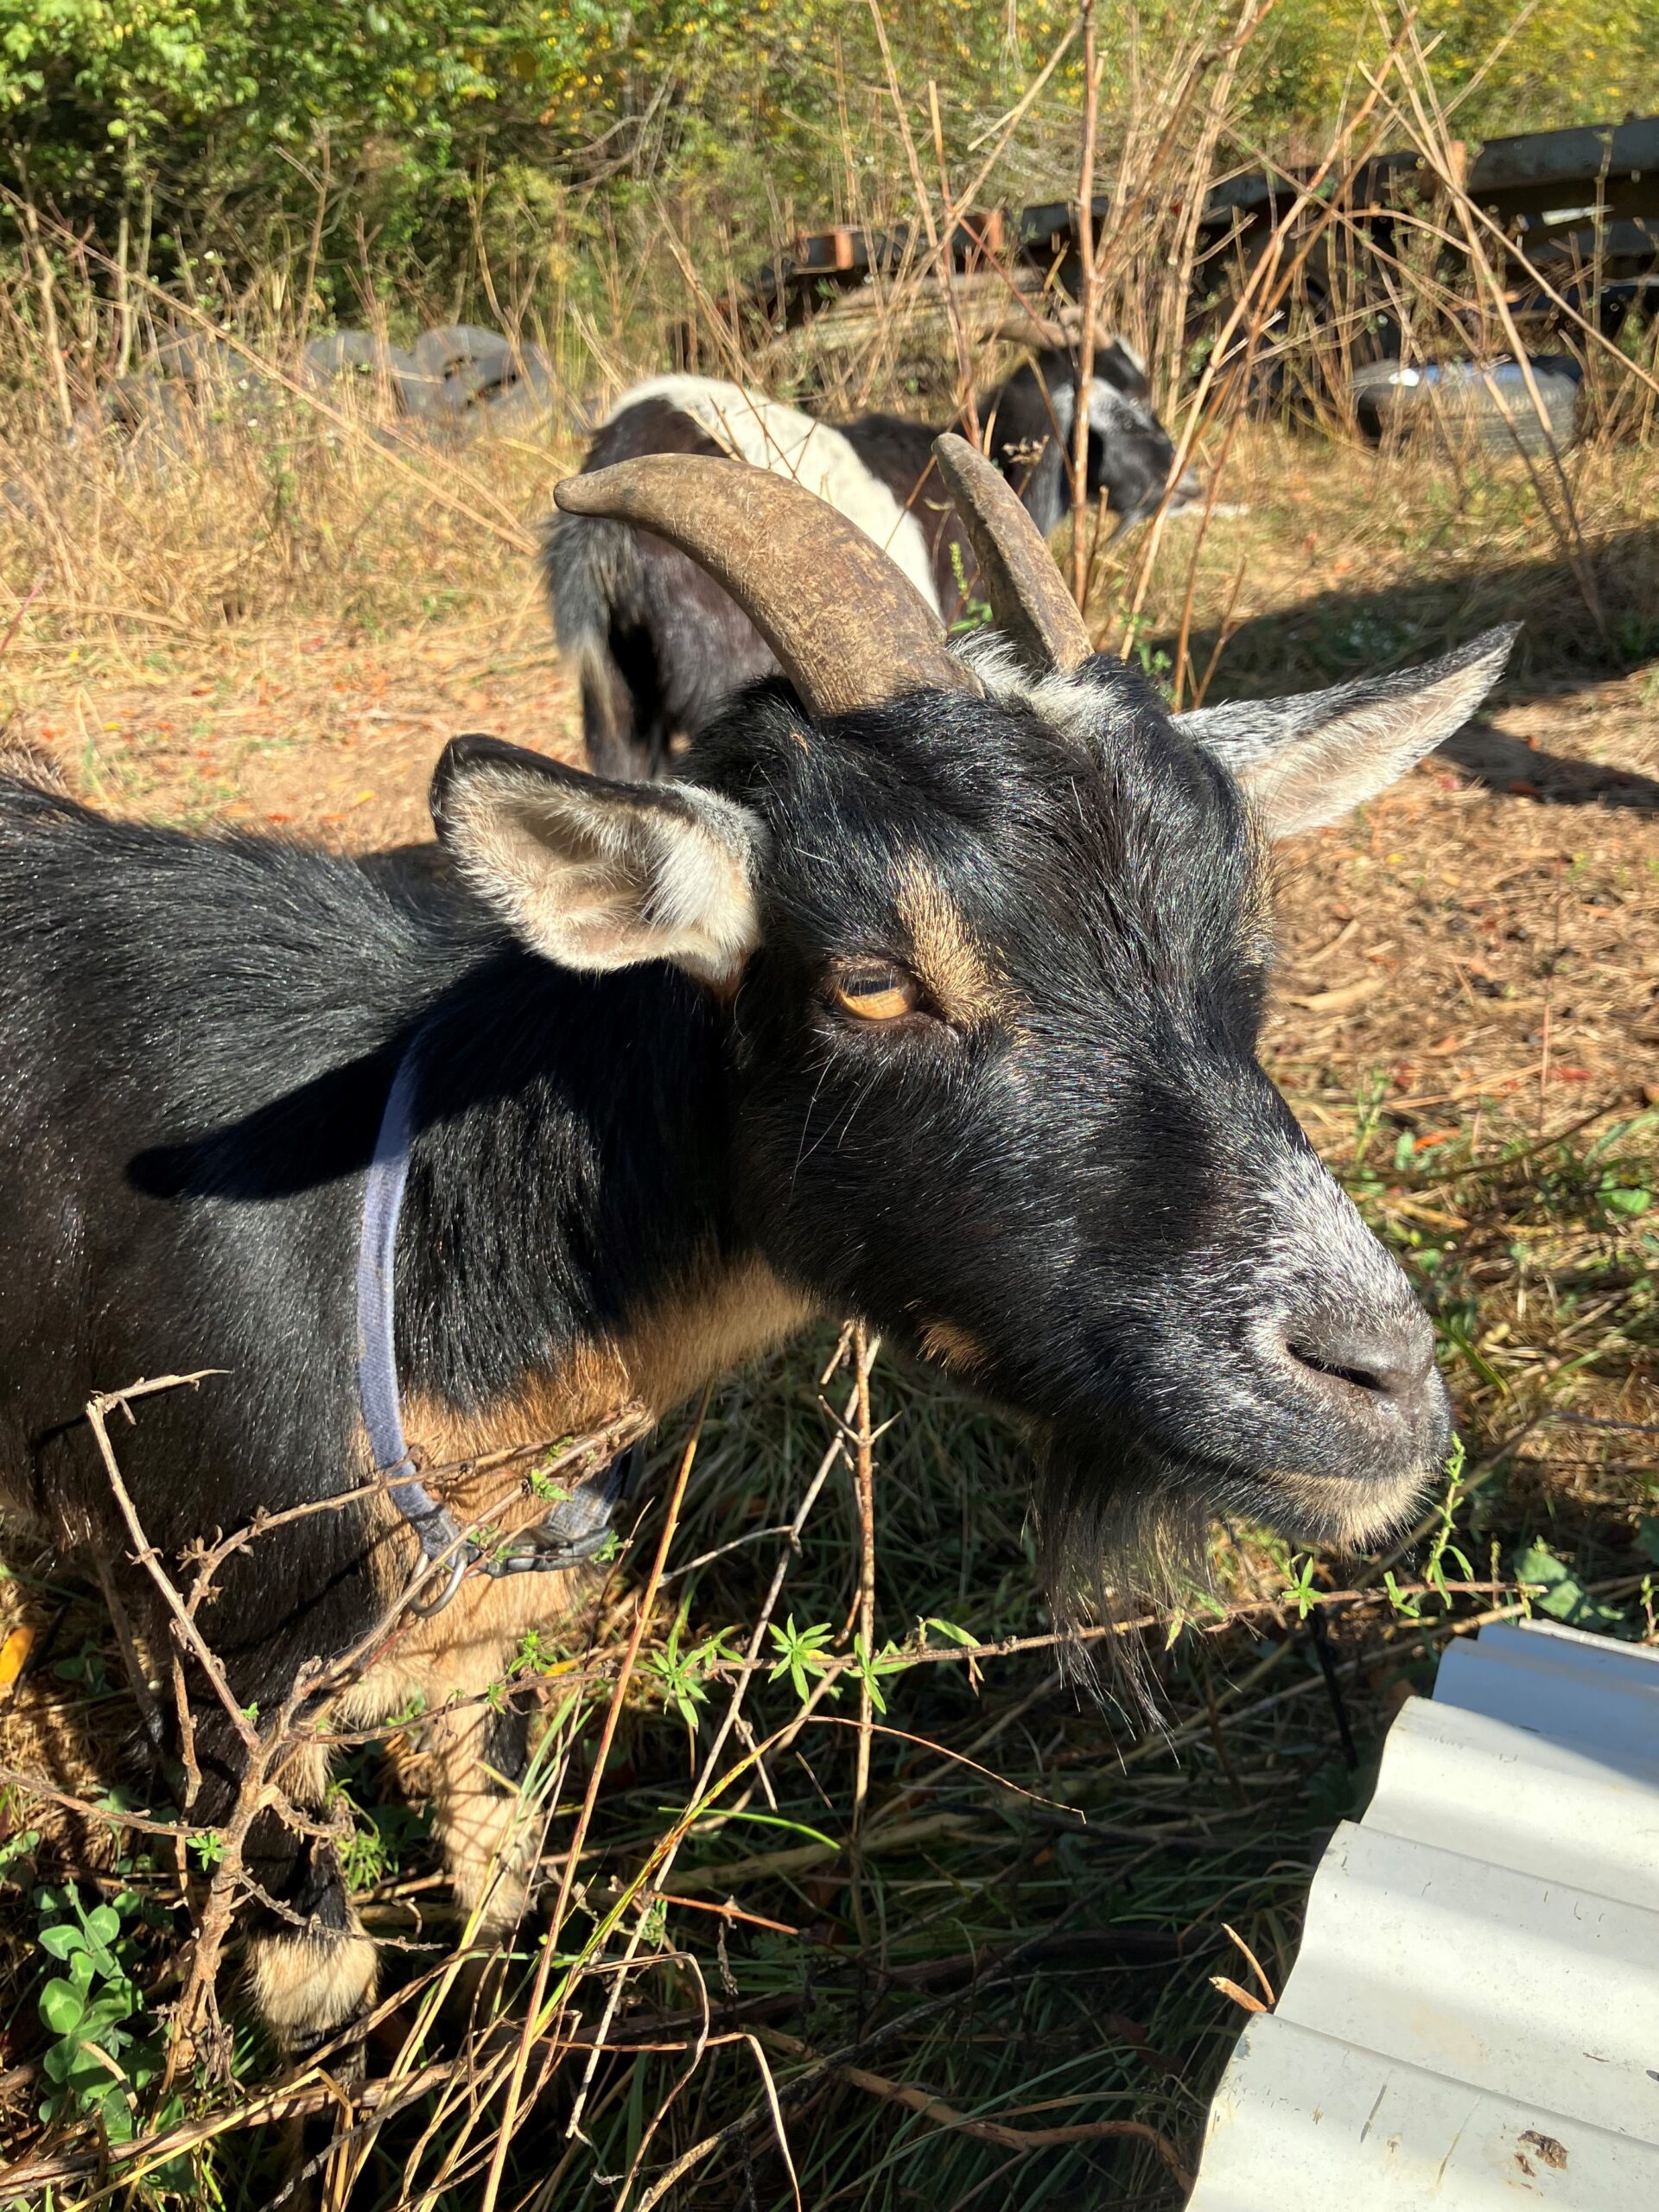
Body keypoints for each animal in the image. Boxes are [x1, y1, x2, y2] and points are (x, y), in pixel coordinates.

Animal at [0, 439, 1511, 2049]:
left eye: (1247, 943)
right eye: (872, 980)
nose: (1376, 1383)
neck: (410, 1256)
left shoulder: (478, 1636)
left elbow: (501, 1863)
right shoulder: (226, 1650)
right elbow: (318, 1971)